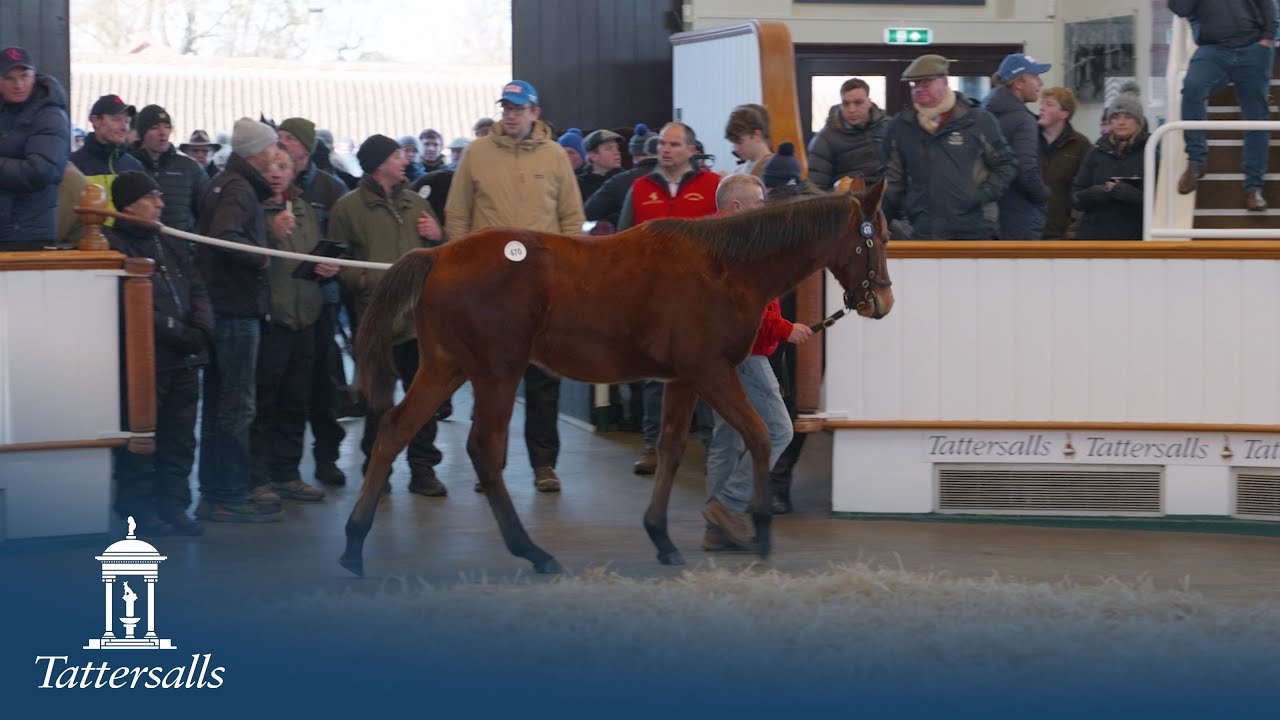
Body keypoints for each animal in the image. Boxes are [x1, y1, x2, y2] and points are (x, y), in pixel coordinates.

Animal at [340, 179, 894, 577]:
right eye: (880, 238)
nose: (883, 302)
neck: (725, 266)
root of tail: (436, 255)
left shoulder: (683, 380)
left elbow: (671, 448)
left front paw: (662, 538)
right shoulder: (711, 371)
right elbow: (759, 435)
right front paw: (758, 533)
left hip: (445, 366)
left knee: (394, 429)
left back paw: (354, 544)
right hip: (497, 373)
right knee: (483, 450)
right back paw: (534, 552)